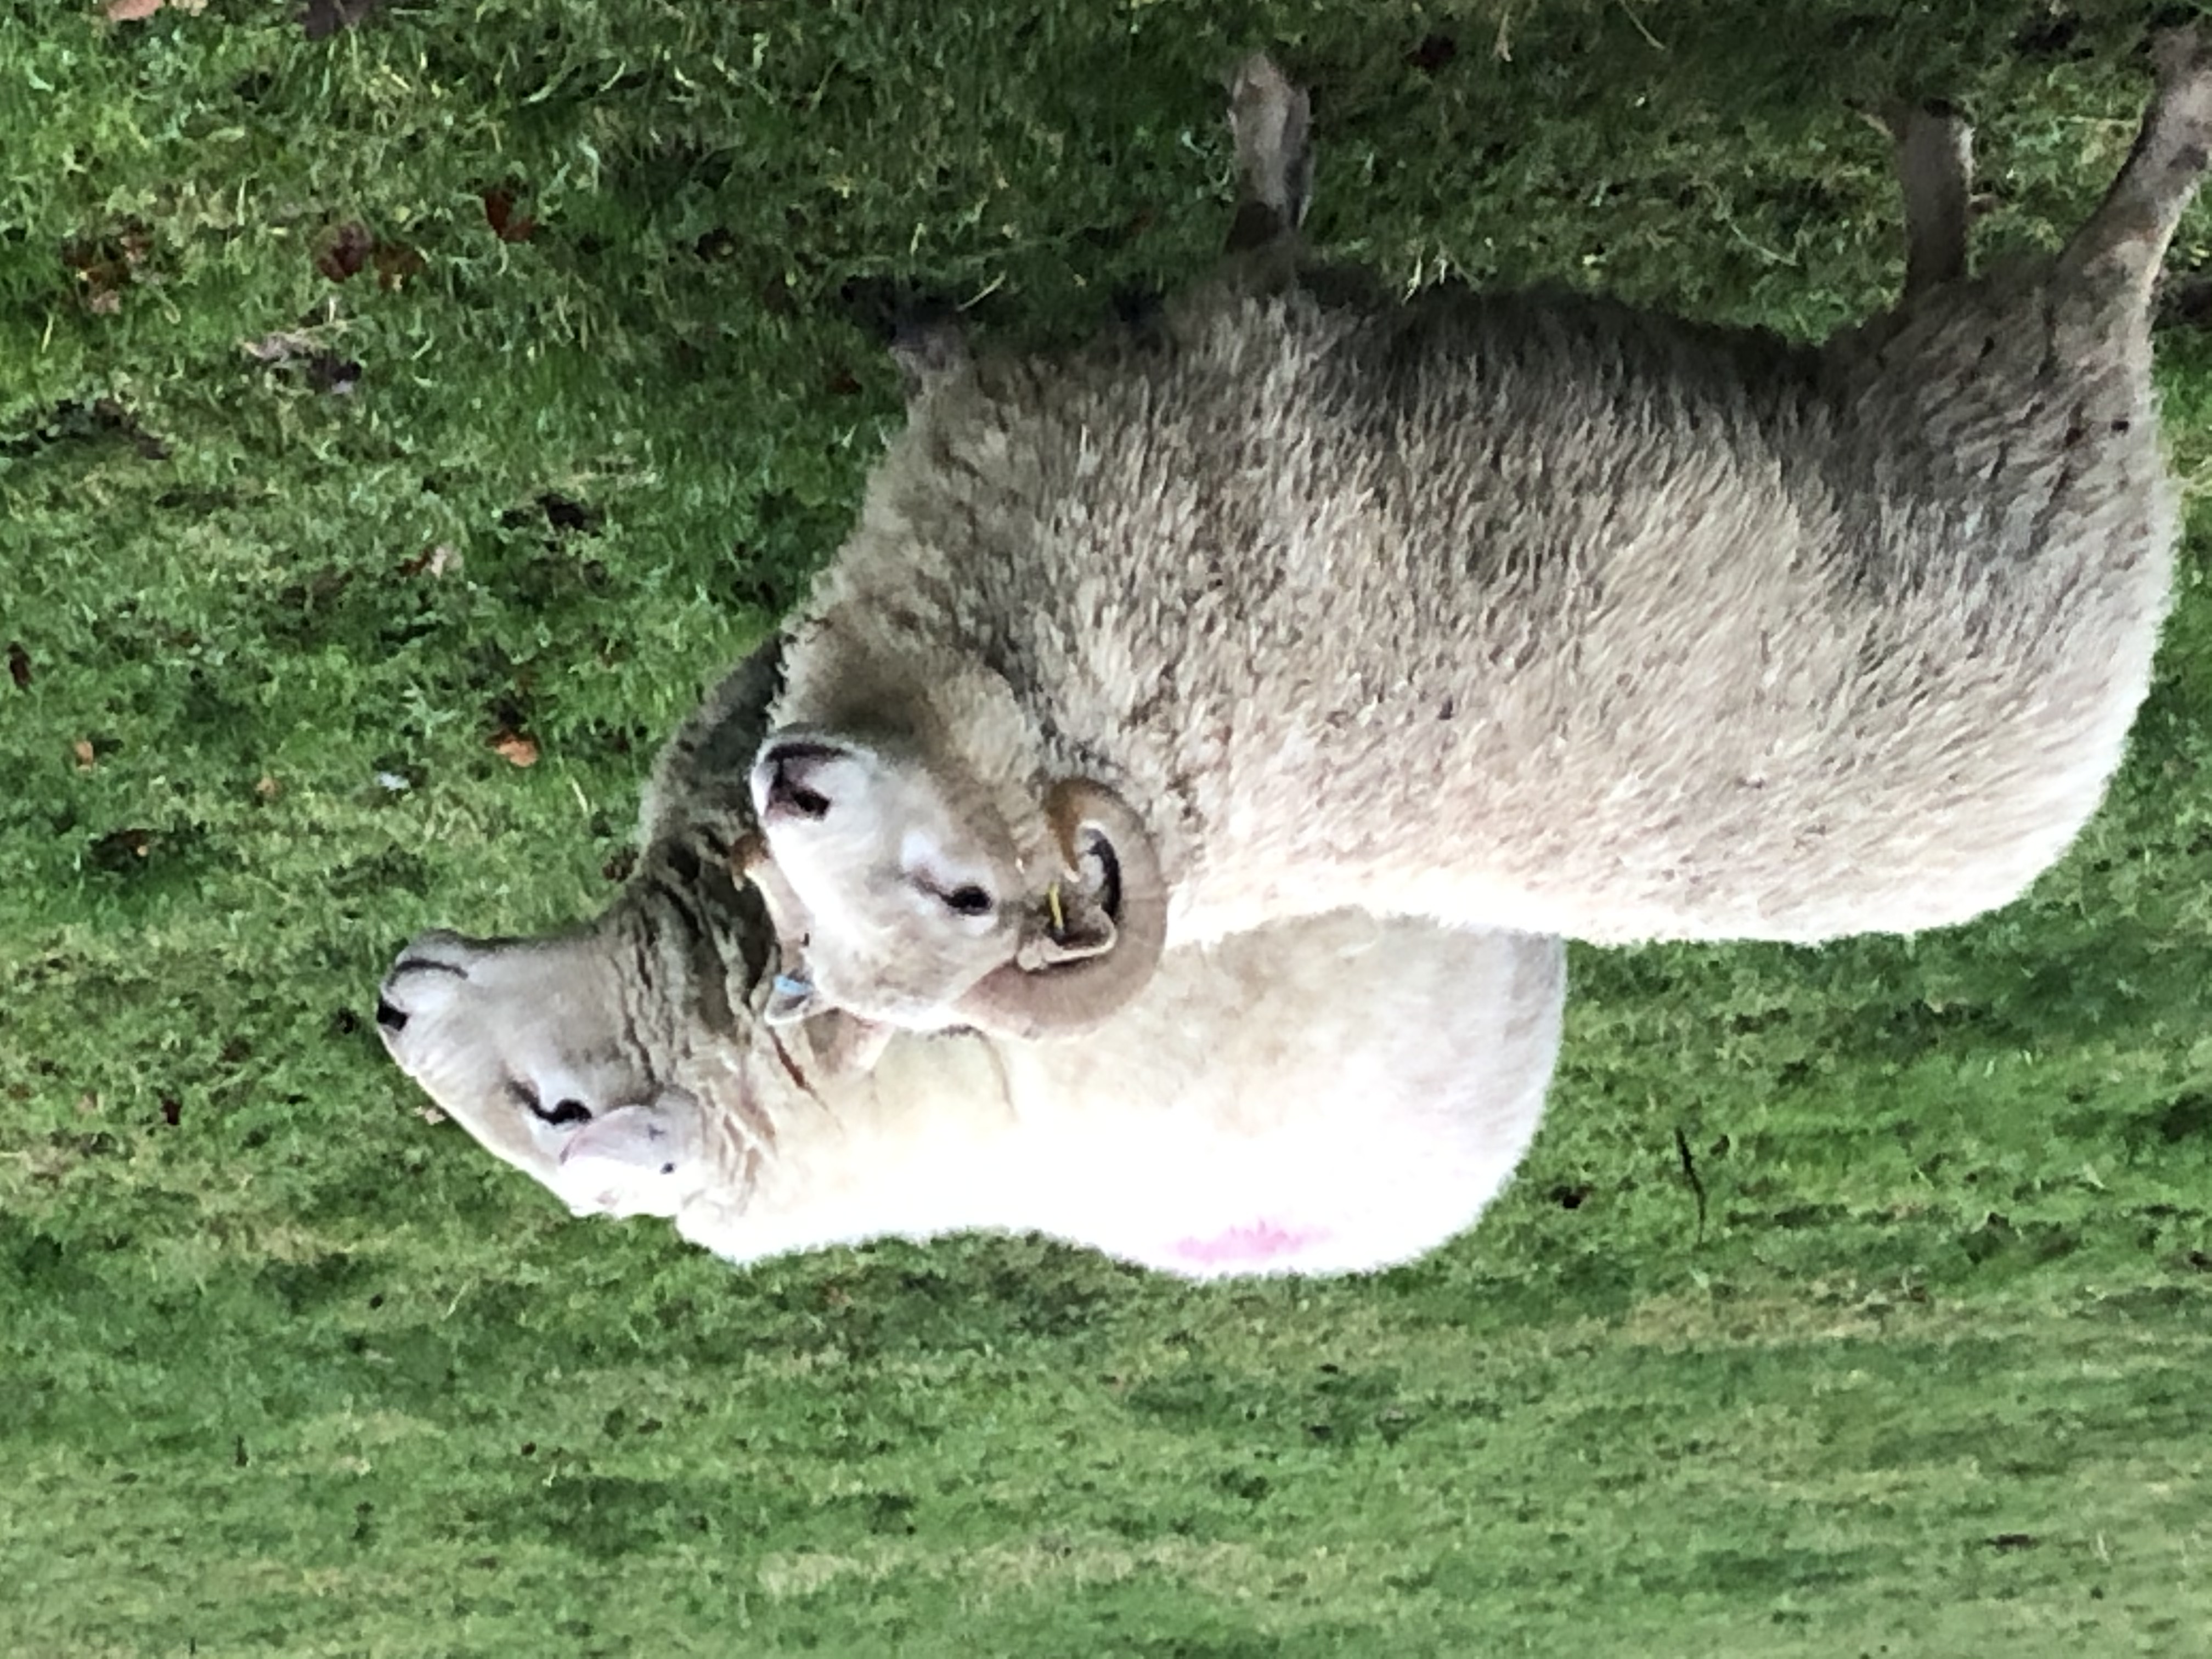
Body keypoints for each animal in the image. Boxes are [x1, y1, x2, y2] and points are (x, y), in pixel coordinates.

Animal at [743, 37, 2209, 1044]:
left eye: (967, 900)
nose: (783, 780)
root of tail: (2085, 751)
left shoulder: (1238, 349)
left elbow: (1258, 227)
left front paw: (1267, 118)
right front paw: (920, 333)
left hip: (2020, 380)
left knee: (2126, 239)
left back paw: (2164, 98)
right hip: (1972, 372)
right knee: (1985, 263)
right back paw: (1933, 141)